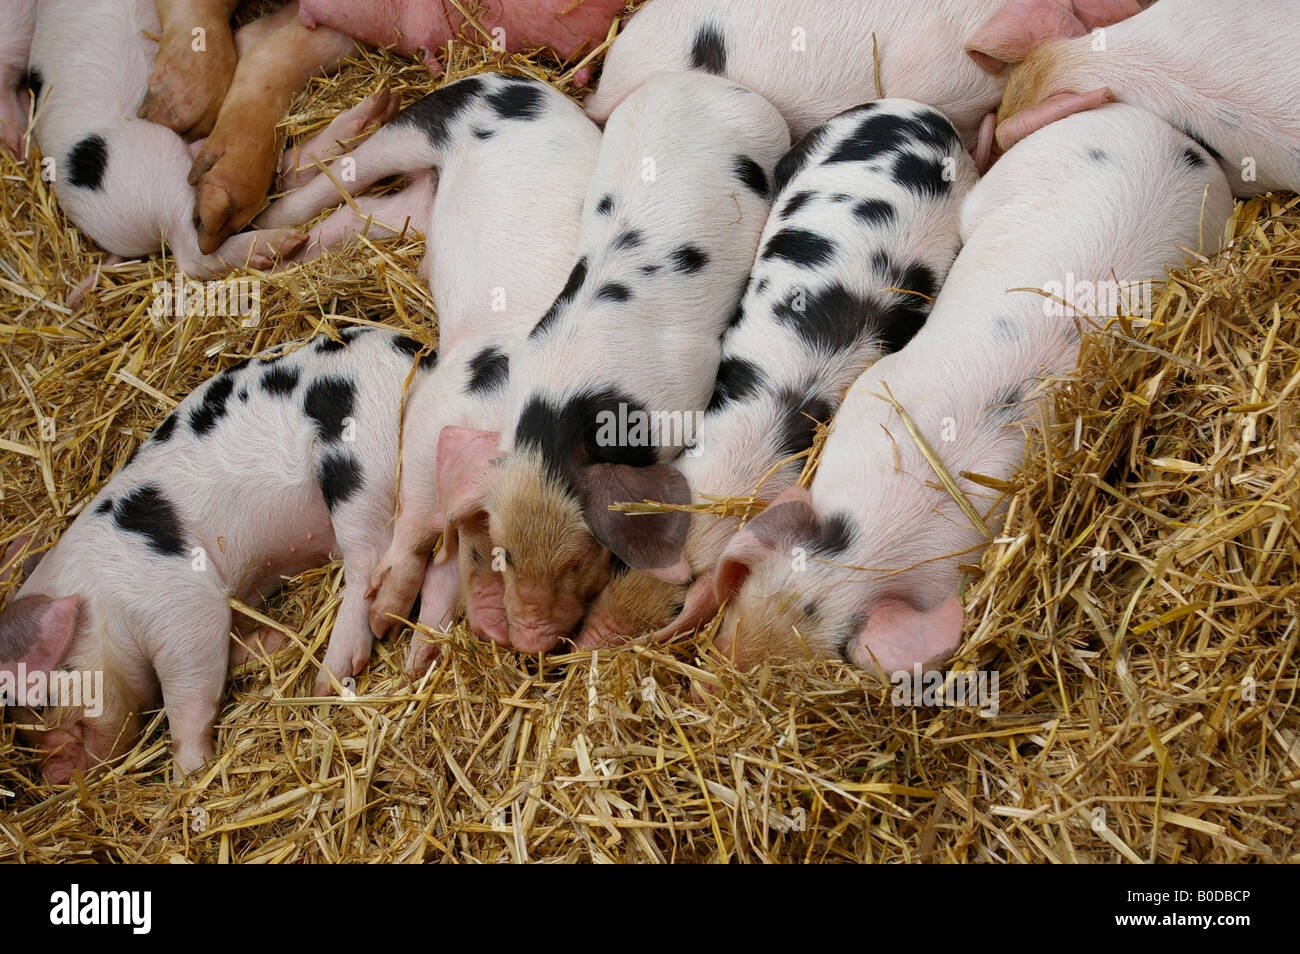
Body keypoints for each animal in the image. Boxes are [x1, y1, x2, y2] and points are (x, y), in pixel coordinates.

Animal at [0, 327, 440, 783]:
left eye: (42, 701)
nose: (53, 775)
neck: (96, 600)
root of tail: (418, 354)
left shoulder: (176, 597)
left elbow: (190, 692)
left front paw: (187, 776)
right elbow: (236, 644)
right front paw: (279, 638)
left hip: (360, 461)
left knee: (368, 562)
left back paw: (327, 679)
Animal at [259, 73, 604, 673]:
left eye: (586, 568)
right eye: (500, 552)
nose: (527, 643)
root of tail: (524, 82)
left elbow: (441, 551)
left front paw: (420, 653)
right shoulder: (437, 403)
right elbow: (420, 516)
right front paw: (385, 616)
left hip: (419, 207)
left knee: (367, 210)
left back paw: (292, 253)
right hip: (429, 122)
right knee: (344, 170)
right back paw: (273, 224)